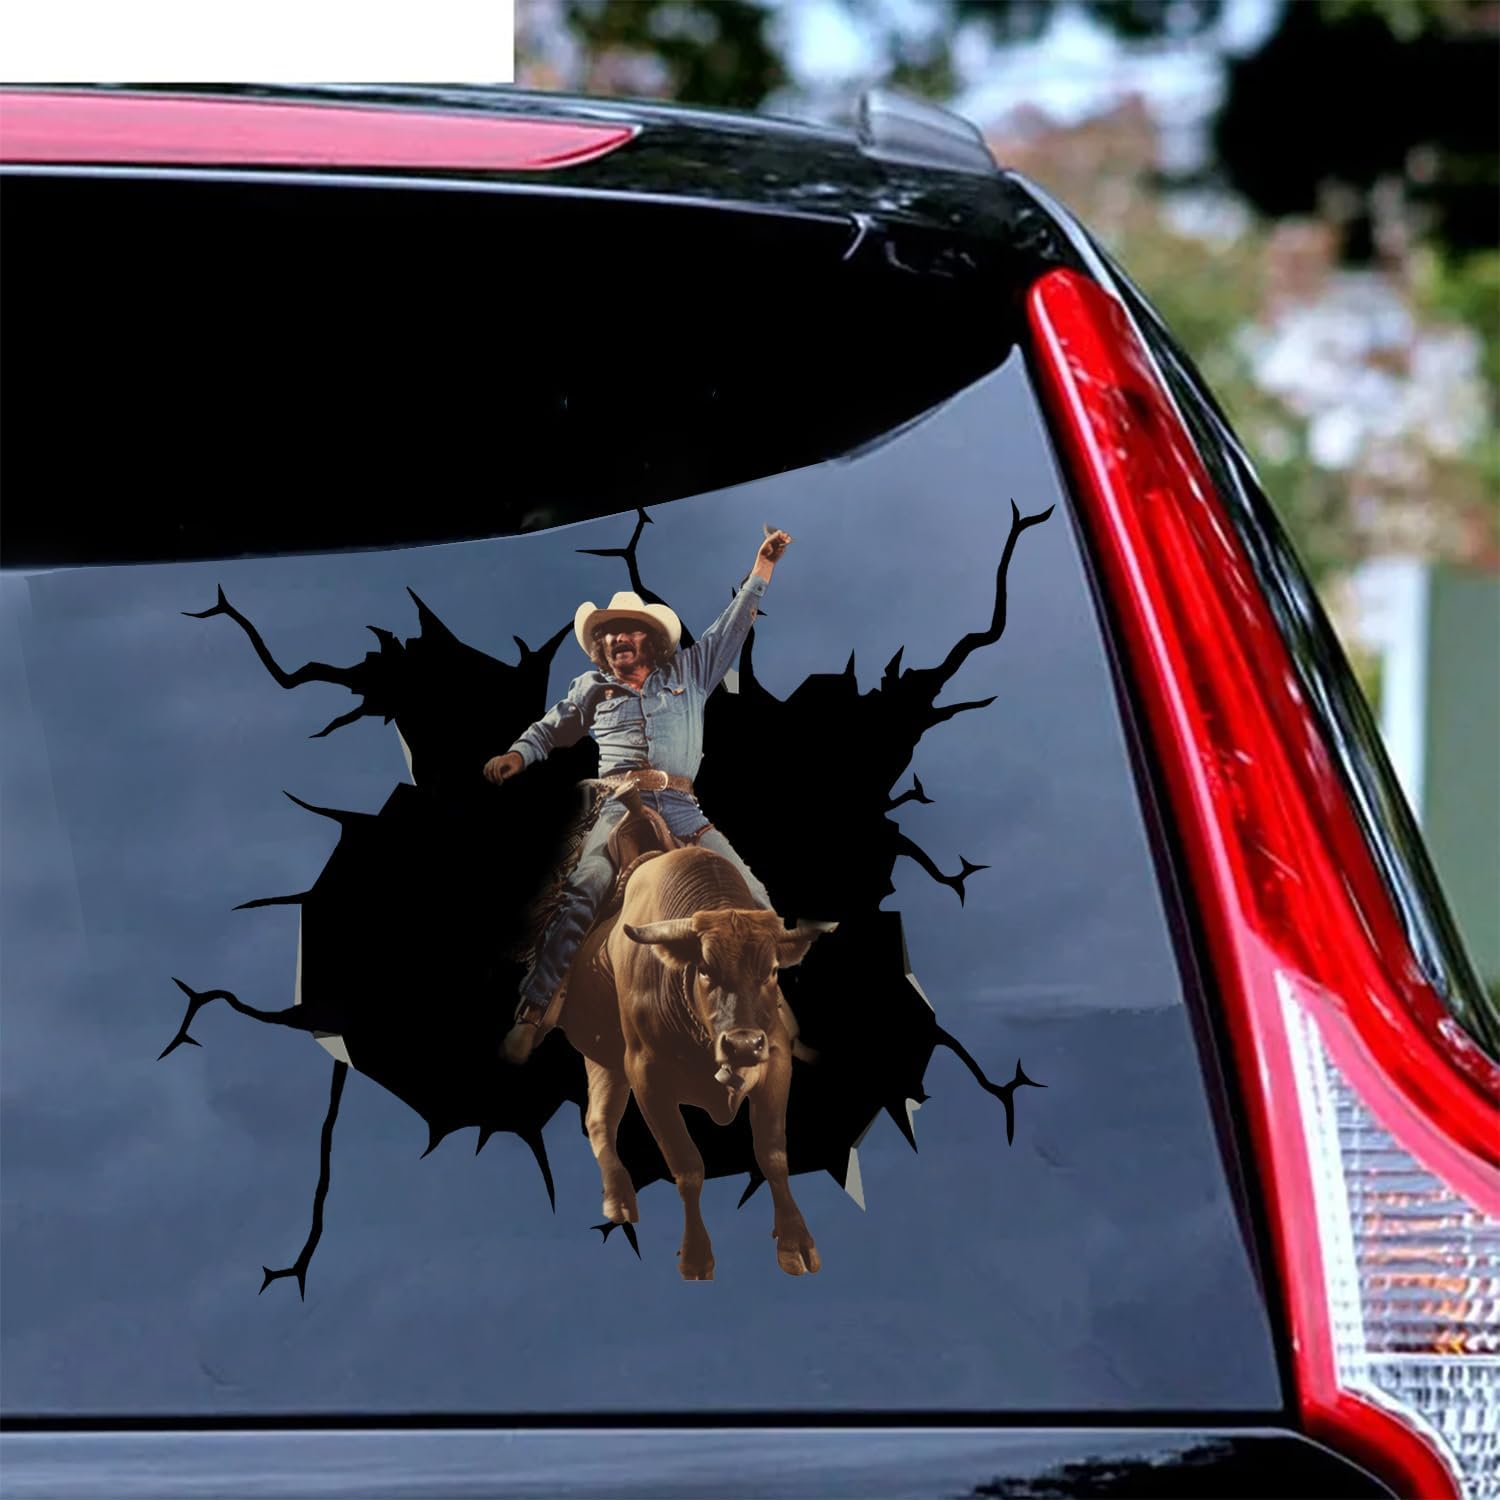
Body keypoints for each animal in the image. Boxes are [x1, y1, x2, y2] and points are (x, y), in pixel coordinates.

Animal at [555, 829, 831, 1280]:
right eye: (704, 969)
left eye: (773, 970)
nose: (742, 1044)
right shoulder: (646, 1075)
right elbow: (687, 1165)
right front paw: (697, 1256)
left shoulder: (775, 1061)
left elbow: (772, 1154)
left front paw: (796, 1243)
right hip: (605, 1059)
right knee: (599, 1122)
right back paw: (619, 1201)